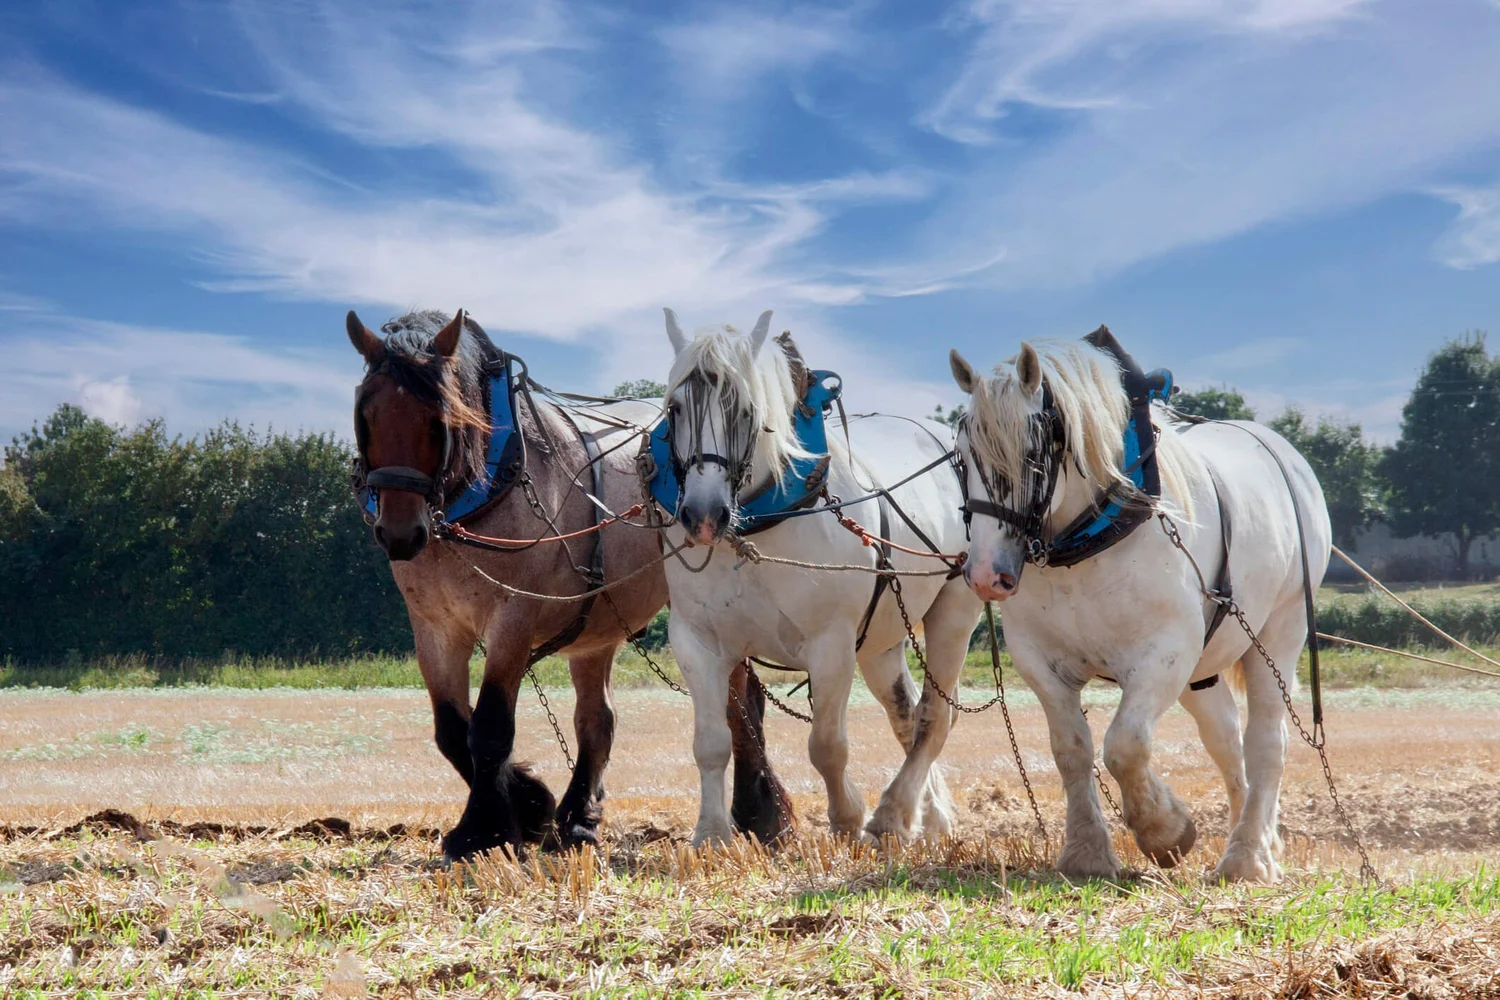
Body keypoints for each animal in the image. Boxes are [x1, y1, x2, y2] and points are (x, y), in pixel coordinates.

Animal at [345, 307, 794, 859]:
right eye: (365, 415)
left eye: (440, 418)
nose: (400, 533)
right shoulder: (434, 627)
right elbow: (452, 729)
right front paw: (528, 806)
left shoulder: (513, 618)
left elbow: (489, 727)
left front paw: (486, 831)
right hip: (596, 629)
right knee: (597, 720)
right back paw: (577, 818)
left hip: (711, 613)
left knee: (739, 705)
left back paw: (760, 813)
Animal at [655, 308, 982, 846]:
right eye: (676, 408)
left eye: (744, 409)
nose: (702, 517)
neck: (758, 524)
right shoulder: (696, 641)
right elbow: (711, 742)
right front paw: (711, 835)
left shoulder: (831, 643)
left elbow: (827, 745)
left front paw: (847, 818)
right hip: (881, 639)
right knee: (907, 715)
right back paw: (929, 817)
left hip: (954, 611)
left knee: (935, 718)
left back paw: (892, 813)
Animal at [948, 331, 1331, 882]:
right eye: (961, 456)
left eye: (1032, 453)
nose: (984, 574)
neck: (1085, 543)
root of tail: (1285, 455)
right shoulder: (1041, 661)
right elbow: (1072, 749)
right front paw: (1086, 853)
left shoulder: (1165, 652)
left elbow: (1125, 745)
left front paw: (1165, 831)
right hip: (1204, 666)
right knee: (1225, 740)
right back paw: (1261, 839)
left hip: (1279, 633)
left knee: (1265, 742)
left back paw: (1247, 858)